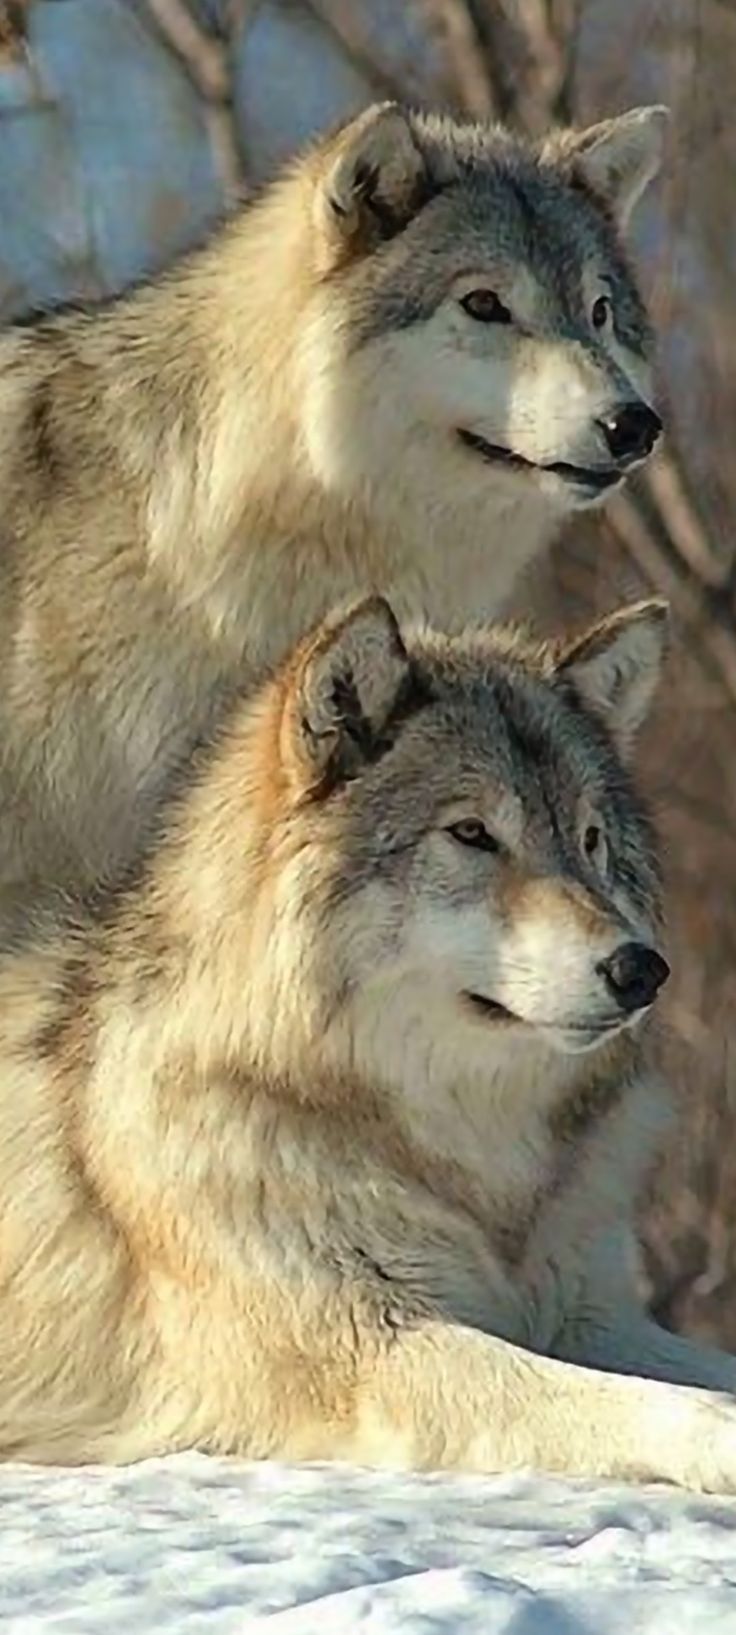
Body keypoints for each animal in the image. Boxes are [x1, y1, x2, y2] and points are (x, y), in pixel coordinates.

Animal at [2, 592, 736, 1488]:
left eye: (591, 840)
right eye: (472, 833)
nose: (642, 968)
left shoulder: (589, 1315)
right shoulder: (373, 1351)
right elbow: (639, 1402)